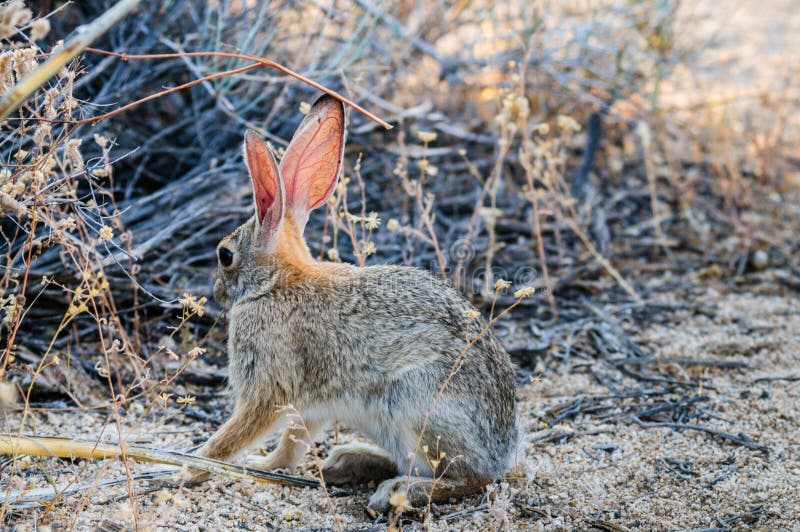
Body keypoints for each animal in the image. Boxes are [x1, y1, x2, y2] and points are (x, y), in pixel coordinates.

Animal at [192, 94, 518, 514]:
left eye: (225, 255)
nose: (216, 291)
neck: (276, 282)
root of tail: (501, 454)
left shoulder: (266, 386)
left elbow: (233, 437)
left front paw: (186, 469)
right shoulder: (308, 406)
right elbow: (292, 445)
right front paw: (266, 464)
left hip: (415, 405)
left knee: (466, 478)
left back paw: (396, 492)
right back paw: (348, 460)